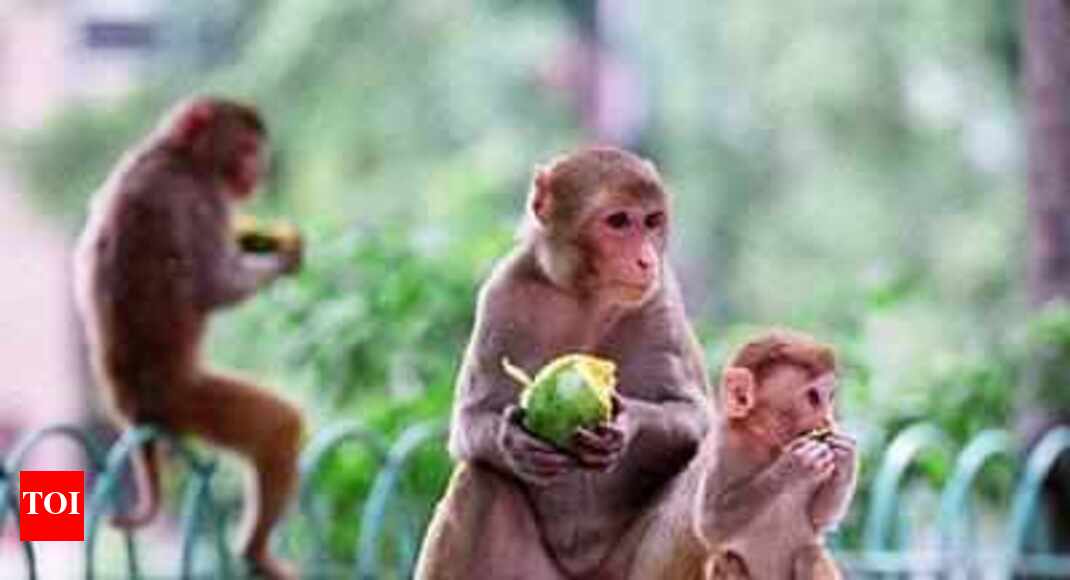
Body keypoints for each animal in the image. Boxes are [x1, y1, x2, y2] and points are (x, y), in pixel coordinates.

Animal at [73, 96, 304, 579]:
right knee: (279, 427)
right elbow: (216, 286)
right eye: (247, 147)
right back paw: (255, 552)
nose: (258, 168)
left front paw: (260, 239)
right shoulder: (198, 196)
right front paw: (284, 257)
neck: (175, 154)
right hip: (185, 398)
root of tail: (133, 407)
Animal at [414, 146, 713, 580]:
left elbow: (695, 416)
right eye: (619, 221)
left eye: (652, 221)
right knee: (480, 476)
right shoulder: (501, 294)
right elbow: (469, 421)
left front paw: (625, 424)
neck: (585, 295)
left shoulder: (662, 299)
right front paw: (514, 443)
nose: (645, 260)